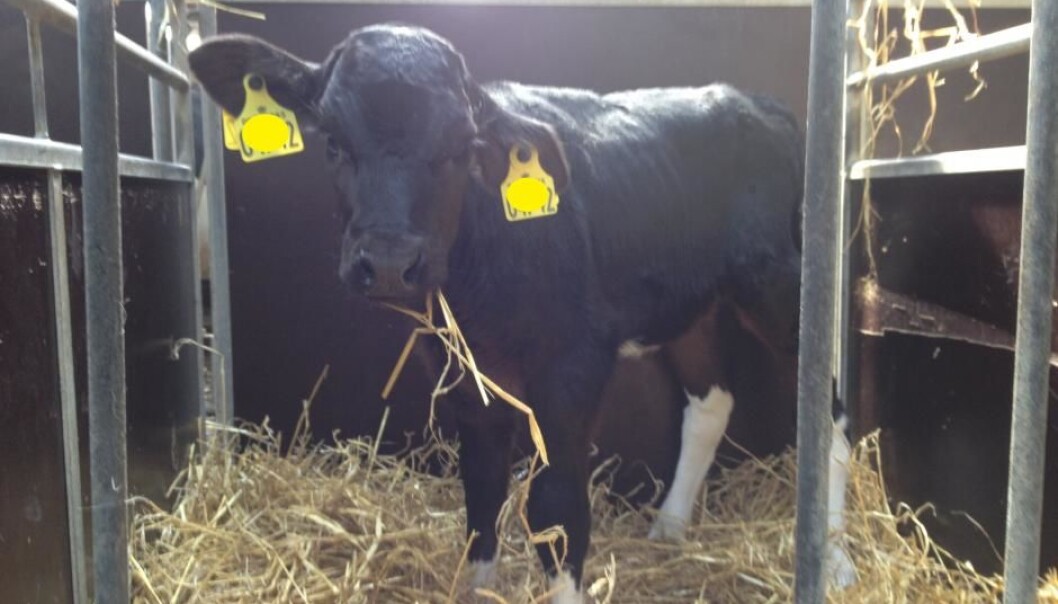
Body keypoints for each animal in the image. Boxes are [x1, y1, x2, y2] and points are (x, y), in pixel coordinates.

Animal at [189, 24, 855, 603]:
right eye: (331, 139)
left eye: (462, 146)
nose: (389, 262)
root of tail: (760, 104)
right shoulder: (466, 370)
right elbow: (482, 492)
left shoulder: (574, 364)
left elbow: (556, 507)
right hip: (693, 306)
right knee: (710, 404)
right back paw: (670, 527)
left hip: (779, 281)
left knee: (830, 412)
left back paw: (837, 559)